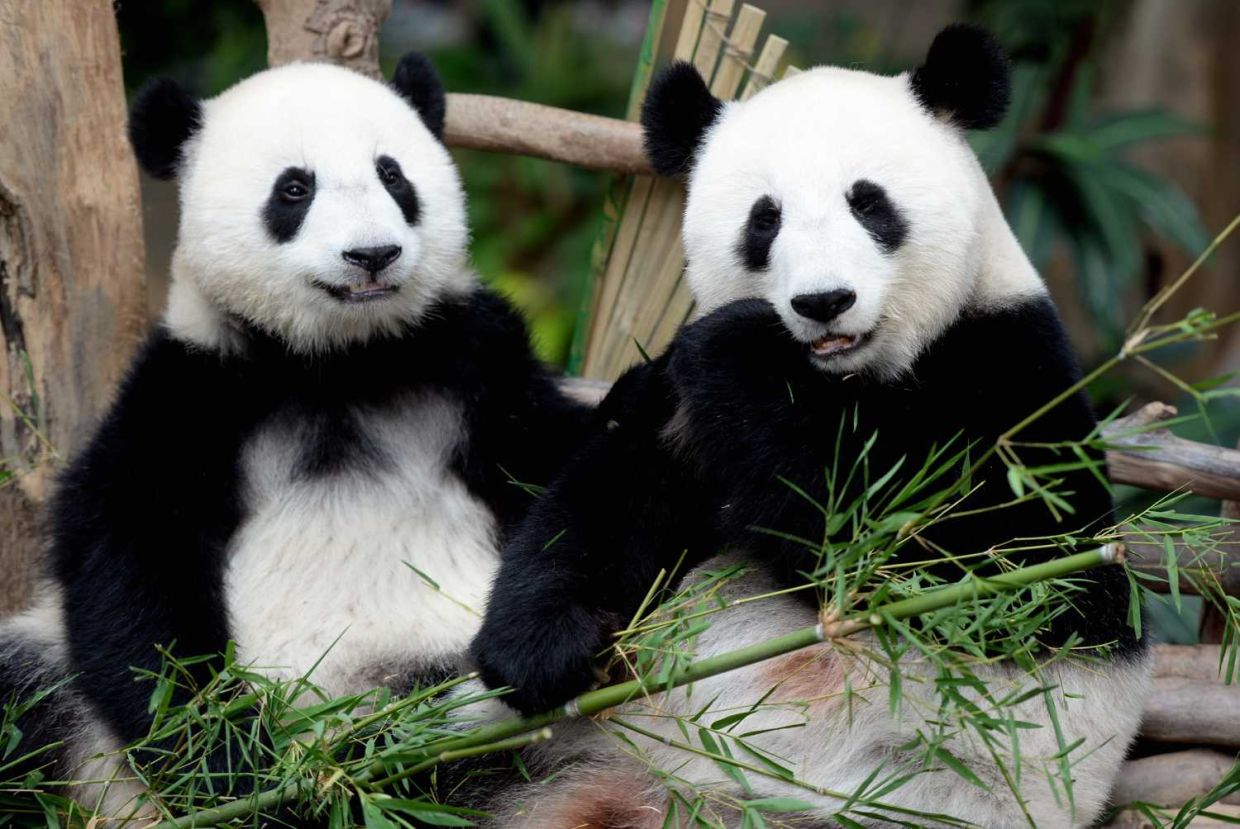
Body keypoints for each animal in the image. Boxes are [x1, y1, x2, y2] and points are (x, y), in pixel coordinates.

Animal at [0, 53, 590, 818]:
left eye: (393, 175)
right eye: (294, 188)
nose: (373, 254)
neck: (339, 361)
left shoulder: (478, 369)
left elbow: (567, 474)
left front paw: (543, 645)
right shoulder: (193, 390)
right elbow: (131, 559)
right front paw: (228, 766)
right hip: (63, 696)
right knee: (24, 699)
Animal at [467, 25, 1151, 828]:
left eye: (870, 203)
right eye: (765, 219)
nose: (824, 302)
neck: (844, 376)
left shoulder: (1010, 376)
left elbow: (979, 563)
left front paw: (744, 345)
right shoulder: (677, 402)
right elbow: (610, 496)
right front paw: (543, 648)